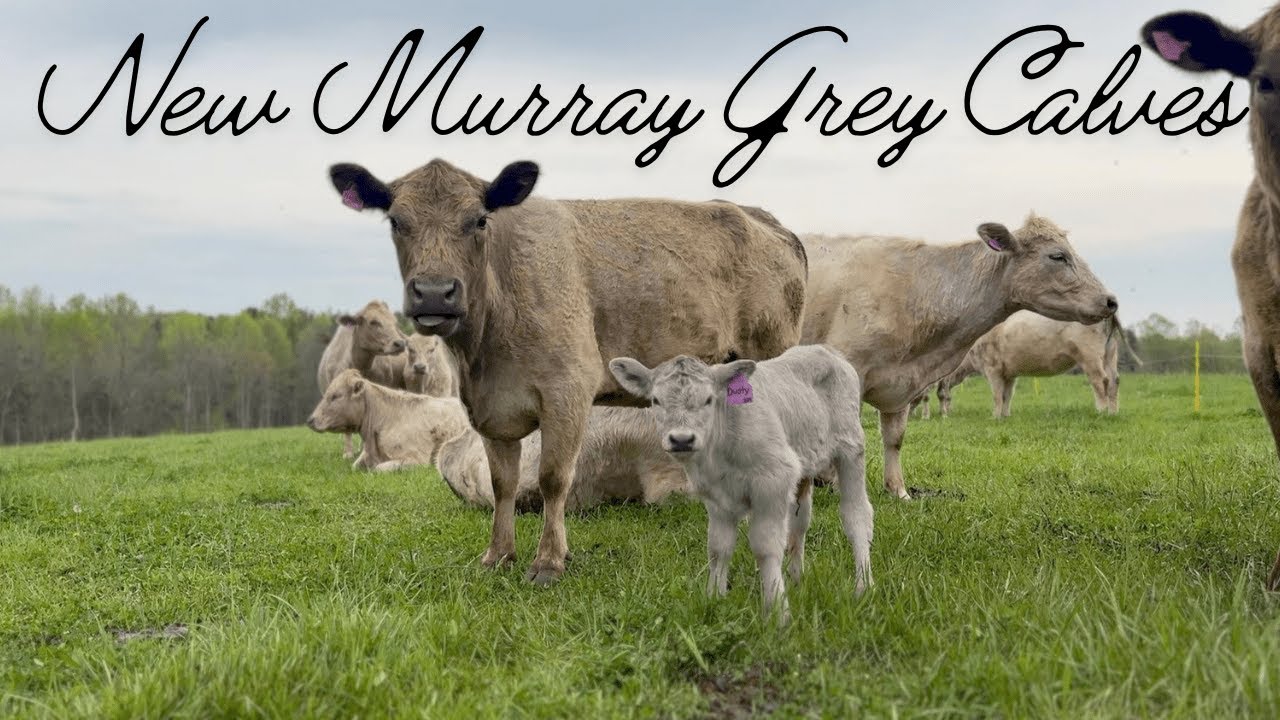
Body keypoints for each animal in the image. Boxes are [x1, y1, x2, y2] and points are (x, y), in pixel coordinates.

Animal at [328, 158, 808, 583]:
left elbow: (552, 479)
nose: (433, 292)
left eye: (479, 220)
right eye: (396, 221)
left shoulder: (568, 393)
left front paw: (548, 562)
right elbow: (502, 482)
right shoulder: (489, 411)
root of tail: (762, 217)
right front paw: (498, 555)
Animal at [609, 345, 872, 625]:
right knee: (799, 523)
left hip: (851, 447)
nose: (681, 439)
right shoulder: (716, 497)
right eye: (656, 401)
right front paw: (714, 597)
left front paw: (777, 612)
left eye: (708, 400)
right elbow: (718, 548)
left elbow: (766, 548)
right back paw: (797, 578)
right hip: (805, 459)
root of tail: (825, 350)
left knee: (857, 515)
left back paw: (863, 586)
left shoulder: (774, 479)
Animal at [801, 214, 1117, 499]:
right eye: (1058, 256)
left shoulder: (902, 381)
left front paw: (899, 491)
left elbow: (895, 438)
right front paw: (837, 485)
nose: (1111, 300)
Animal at [936, 312, 1142, 418]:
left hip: (1089, 354)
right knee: (1114, 380)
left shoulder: (992, 368)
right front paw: (1005, 416)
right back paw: (1113, 413)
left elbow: (996, 395)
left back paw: (1101, 411)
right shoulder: (1009, 373)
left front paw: (995, 417)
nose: (945, 414)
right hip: (1110, 351)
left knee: (1101, 381)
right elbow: (1006, 395)